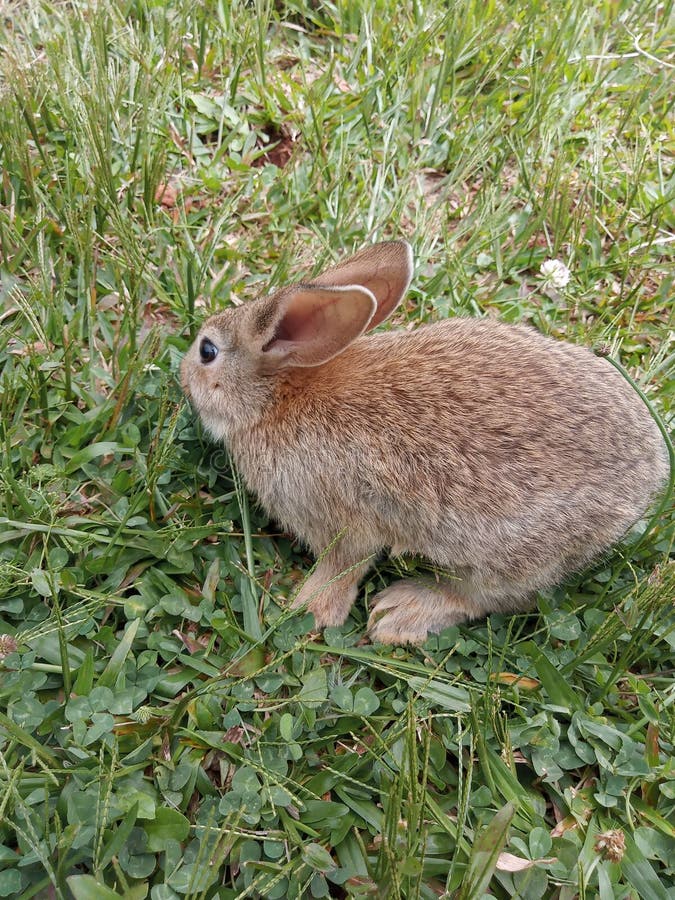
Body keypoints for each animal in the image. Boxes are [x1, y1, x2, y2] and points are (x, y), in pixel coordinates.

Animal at [181, 241, 669, 645]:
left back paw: (402, 612)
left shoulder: (341, 518)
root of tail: (652, 474)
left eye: (208, 351)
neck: (277, 399)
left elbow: (344, 565)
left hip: (510, 559)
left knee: (490, 597)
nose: (182, 375)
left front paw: (308, 611)